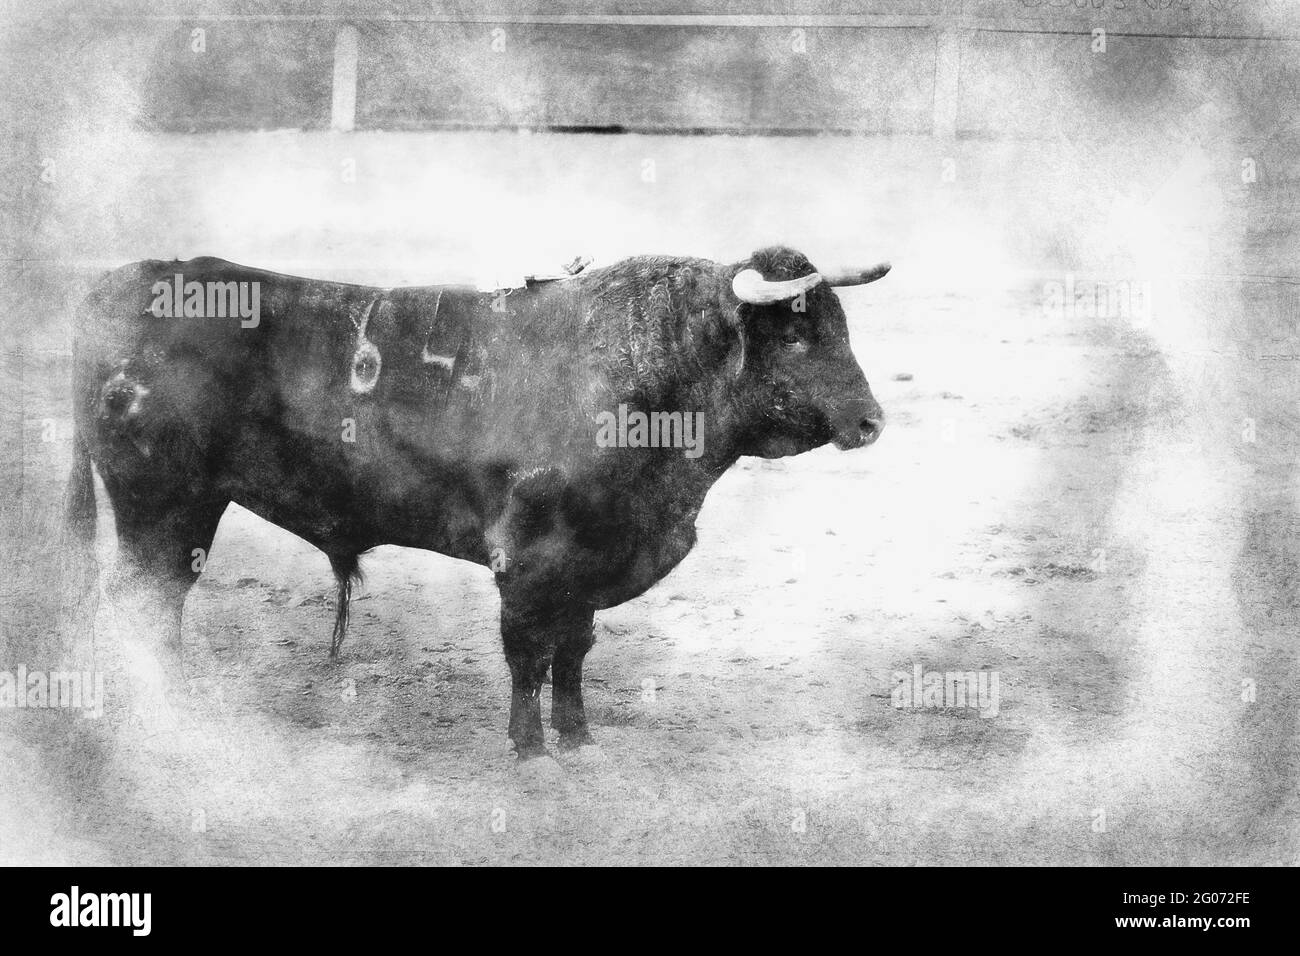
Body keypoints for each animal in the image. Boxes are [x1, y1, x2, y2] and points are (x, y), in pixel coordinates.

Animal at [65, 246, 888, 758]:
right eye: (798, 338)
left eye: (841, 326)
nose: (871, 422)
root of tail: (115, 288)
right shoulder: (528, 562)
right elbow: (528, 654)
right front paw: (529, 748)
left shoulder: (587, 563)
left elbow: (574, 652)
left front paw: (577, 737)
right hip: (160, 507)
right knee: (142, 600)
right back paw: (164, 708)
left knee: (157, 601)